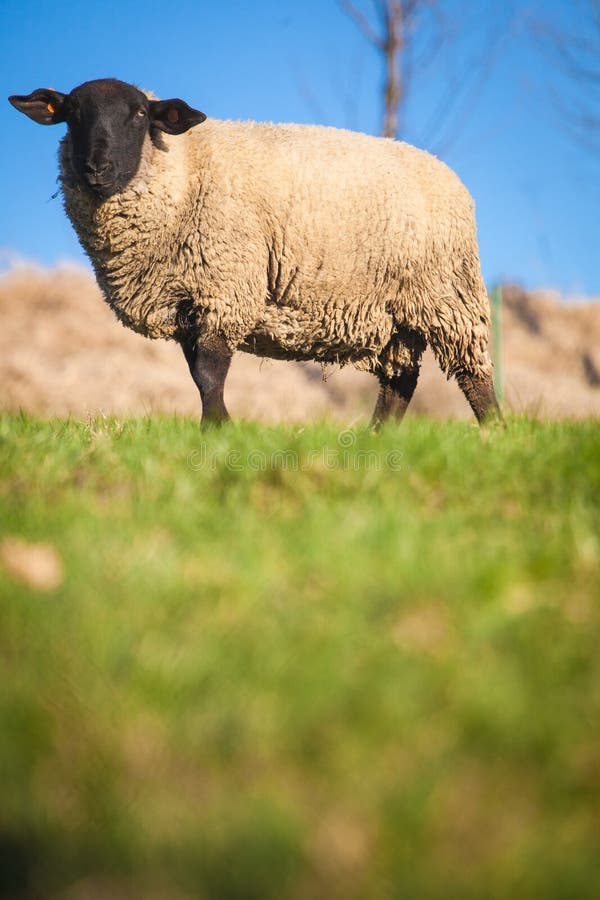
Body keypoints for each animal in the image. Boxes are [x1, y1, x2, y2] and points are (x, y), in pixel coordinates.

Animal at [9, 78, 500, 426]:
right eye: (72, 113)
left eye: (140, 113)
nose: (97, 167)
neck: (183, 171)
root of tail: (448, 174)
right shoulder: (189, 301)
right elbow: (197, 374)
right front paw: (220, 425)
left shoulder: (225, 286)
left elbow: (209, 372)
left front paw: (218, 430)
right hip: (394, 314)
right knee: (400, 383)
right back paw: (377, 439)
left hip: (448, 296)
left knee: (473, 376)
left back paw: (494, 433)